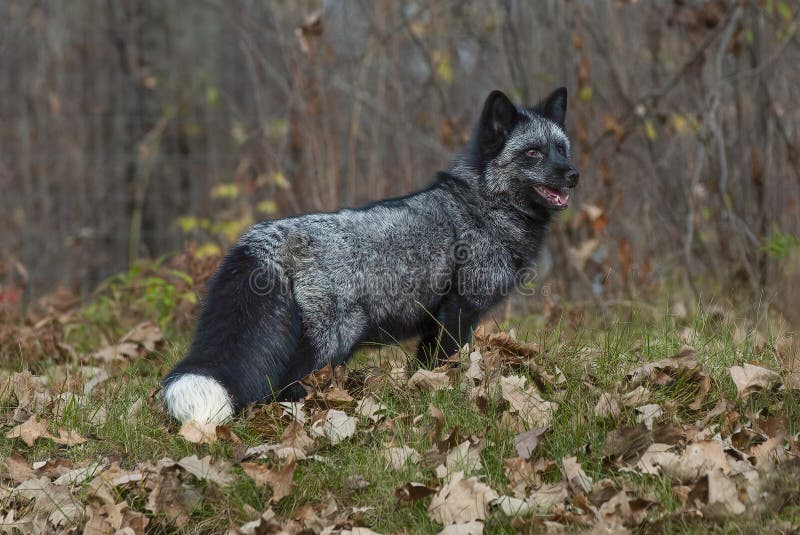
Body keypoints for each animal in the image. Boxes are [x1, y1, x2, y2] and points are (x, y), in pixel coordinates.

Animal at [163, 87, 579, 424]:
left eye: (561, 148)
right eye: (532, 153)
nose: (574, 174)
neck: (485, 205)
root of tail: (265, 235)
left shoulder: (435, 319)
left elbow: (424, 367)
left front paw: (423, 393)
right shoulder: (458, 312)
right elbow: (448, 364)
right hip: (333, 341)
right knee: (285, 387)